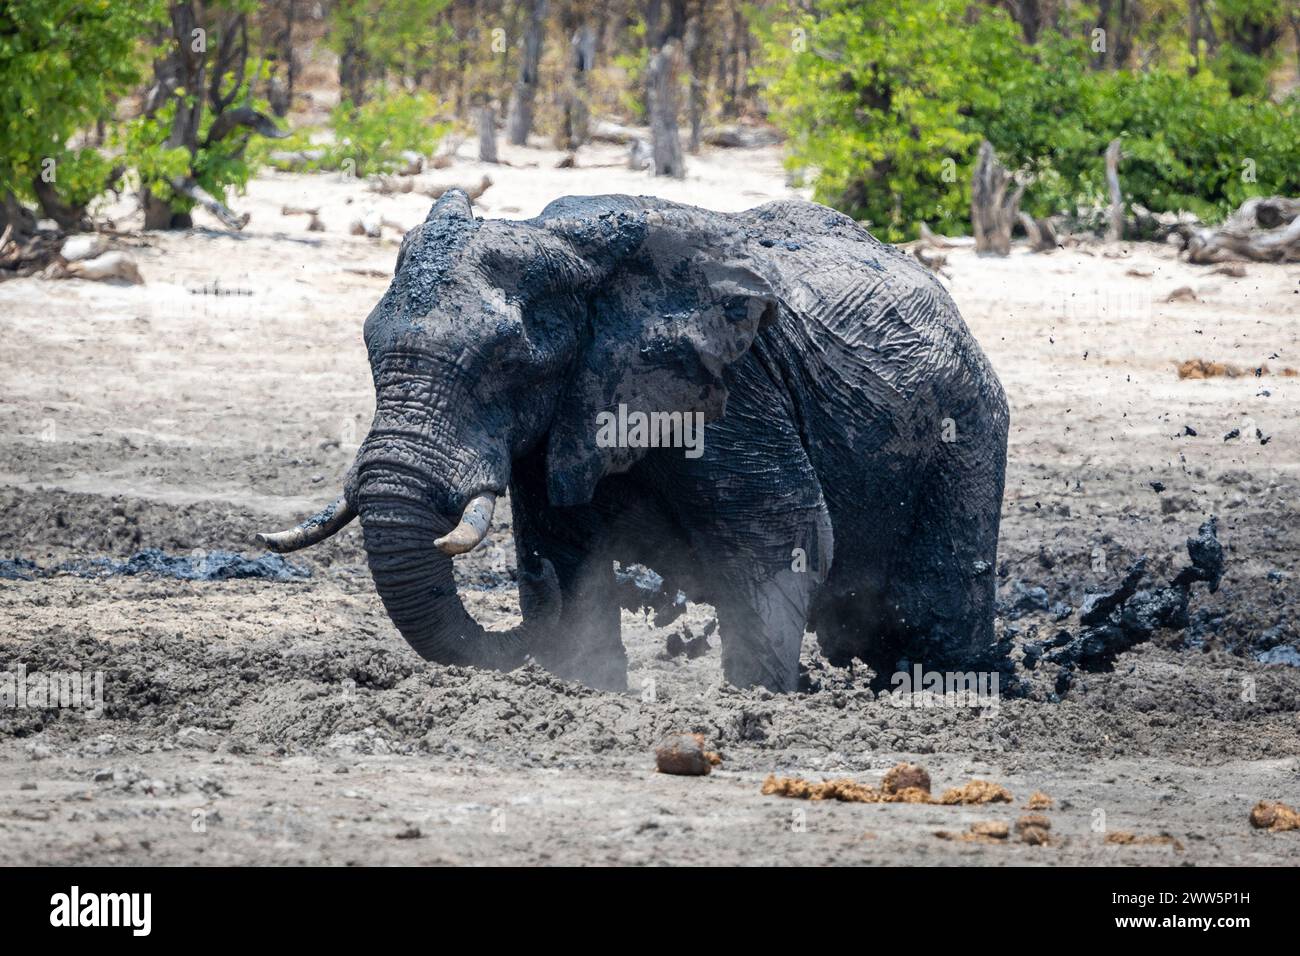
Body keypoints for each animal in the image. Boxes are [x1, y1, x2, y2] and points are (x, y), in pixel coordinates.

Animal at [257, 190, 1009, 693]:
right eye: (368, 345)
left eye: (508, 361)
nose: (529, 583)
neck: (570, 250)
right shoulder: (560, 420)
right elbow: (567, 551)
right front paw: (591, 687)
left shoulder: (733, 391)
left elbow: (780, 538)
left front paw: (752, 701)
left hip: (966, 426)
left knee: (932, 608)